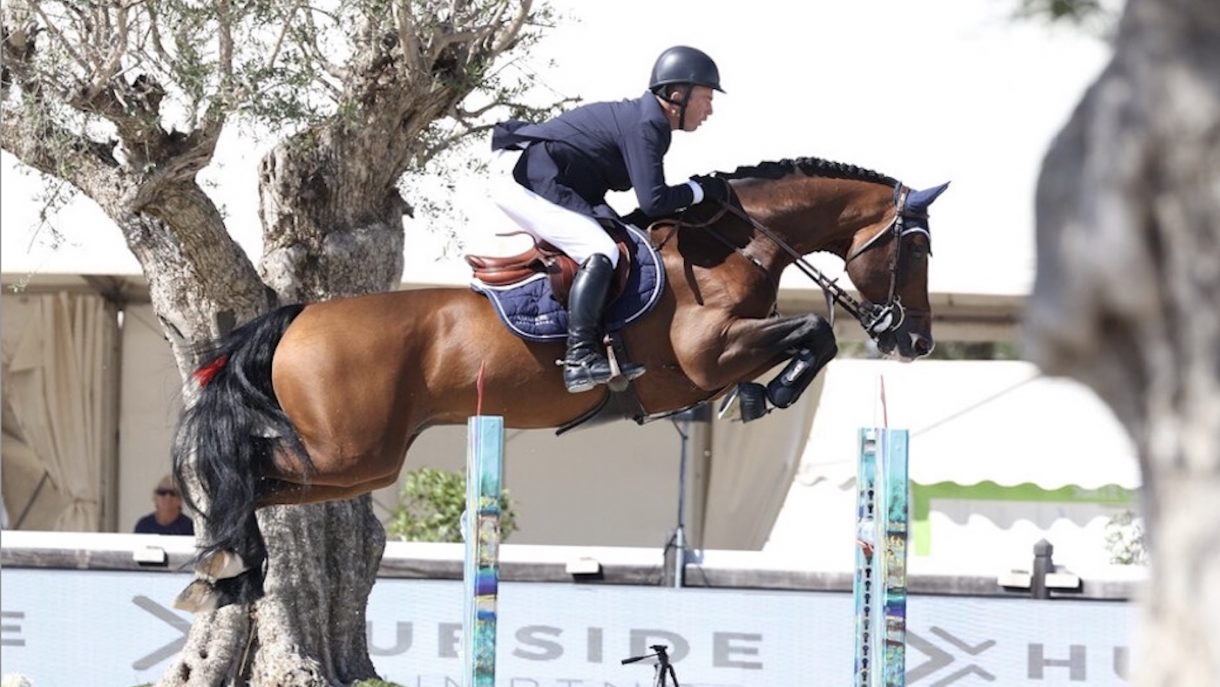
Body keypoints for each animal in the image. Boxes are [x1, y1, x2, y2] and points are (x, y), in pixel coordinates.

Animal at [172, 157, 948, 611]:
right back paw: (224, 570)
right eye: (916, 250)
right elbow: (813, 333)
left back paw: (228, 577)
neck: (731, 247)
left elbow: (809, 337)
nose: (915, 342)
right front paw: (767, 394)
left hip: (360, 463)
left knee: (263, 482)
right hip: (349, 450)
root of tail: (299, 314)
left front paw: (759, 395)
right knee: (246, 470)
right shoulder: (708, 355)